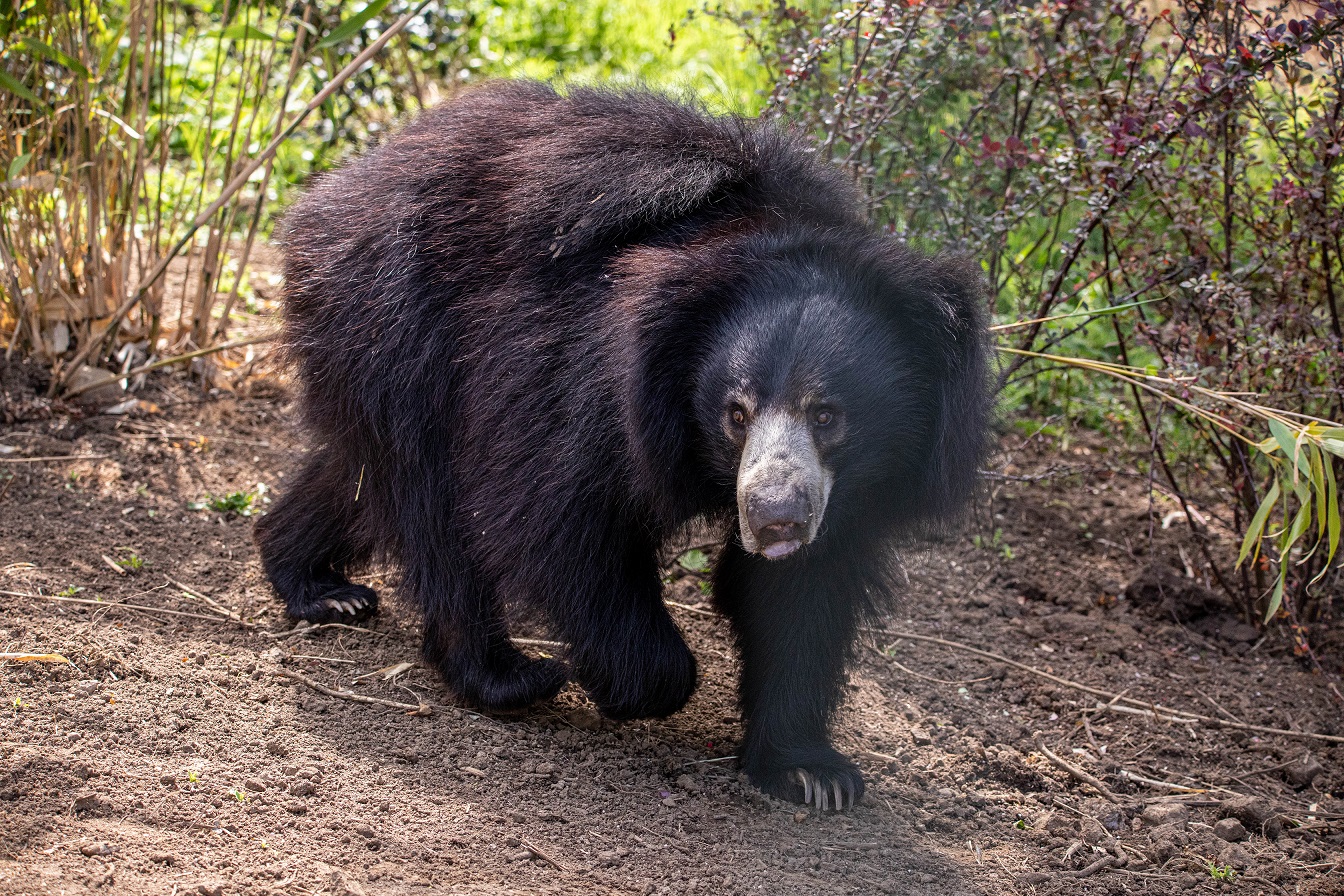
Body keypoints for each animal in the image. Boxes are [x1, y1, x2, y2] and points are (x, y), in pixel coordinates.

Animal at [254, 81, 989, 811]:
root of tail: (338, 188)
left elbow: (805, 592)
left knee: (359, 474)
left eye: (828, 414)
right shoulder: (594, 383)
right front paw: (630, 685)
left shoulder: (854, 487)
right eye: (736, 413)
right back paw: (506, 675)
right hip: (396, 320)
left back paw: (317, 585)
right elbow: (557, 515)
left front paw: (811, 773)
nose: (775, 517)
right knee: (431, 502)